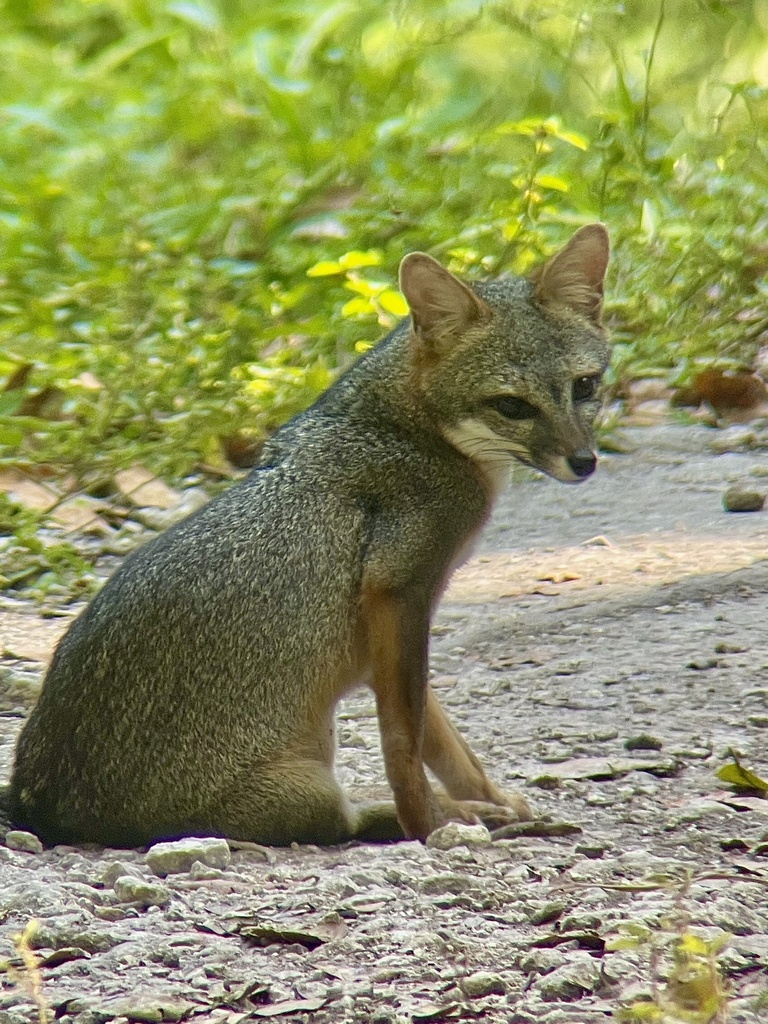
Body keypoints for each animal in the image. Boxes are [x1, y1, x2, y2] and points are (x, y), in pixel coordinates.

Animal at [4, 223, 610, 848]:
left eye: (586, 386)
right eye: (511, 405)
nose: (584, 462)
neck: (405, 426)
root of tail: (38, 808)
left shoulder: (389, 629)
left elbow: (444, 742)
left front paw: (489, 799)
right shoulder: (397, 591)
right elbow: (406, 742)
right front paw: (433, 820)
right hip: (310, 787)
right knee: (346, 817)